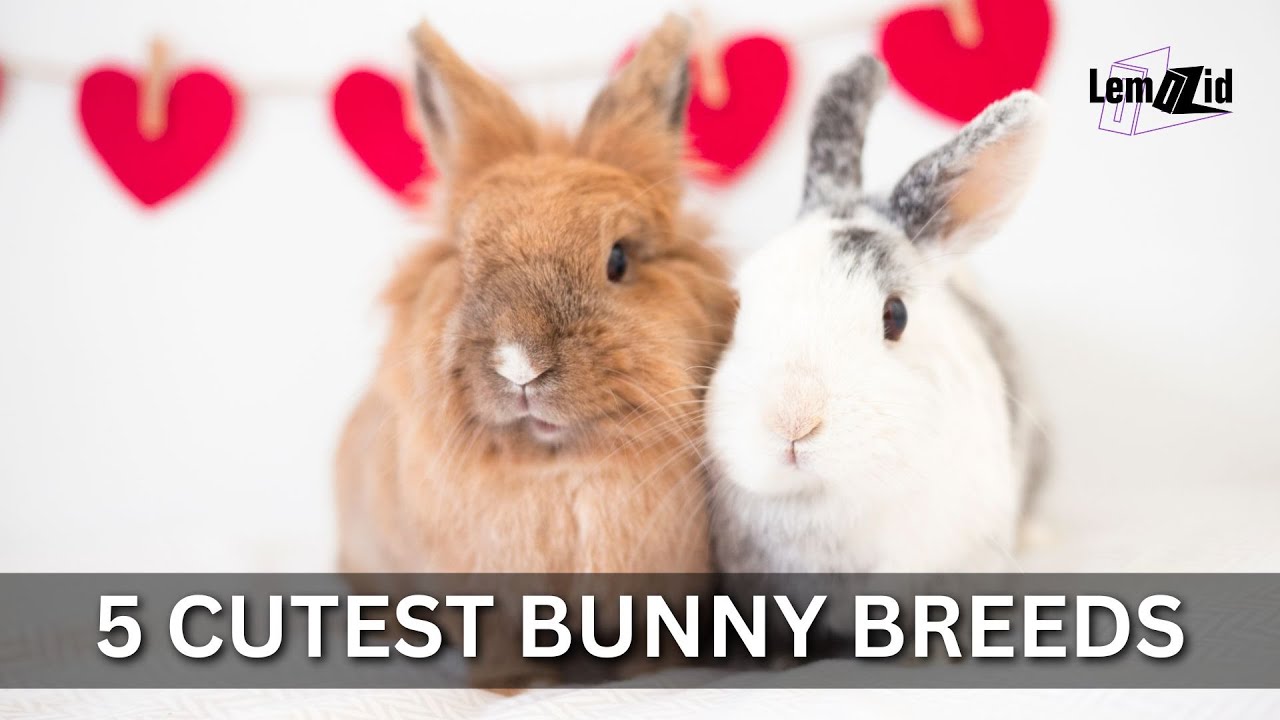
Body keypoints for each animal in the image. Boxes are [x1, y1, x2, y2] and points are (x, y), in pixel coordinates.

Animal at [334, 15, 735, 685]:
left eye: (618, 260)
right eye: (465, 262)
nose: (520, 364)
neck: (558, 467)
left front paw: (647, 679)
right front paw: (511, 690)